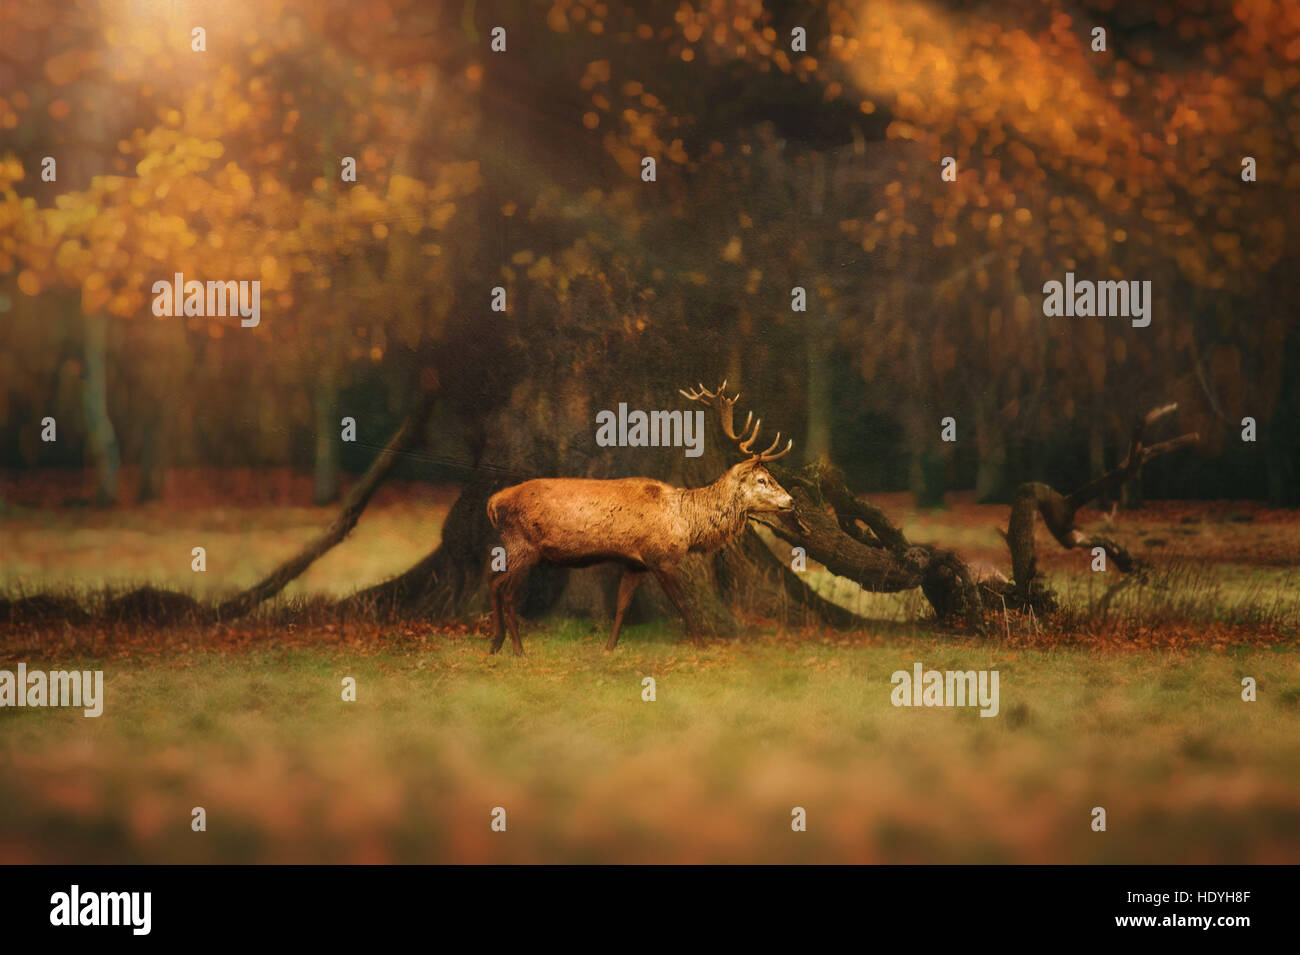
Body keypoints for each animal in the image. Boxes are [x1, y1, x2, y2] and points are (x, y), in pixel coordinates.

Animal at [485, 381, 796, 654]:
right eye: (762, 479)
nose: (791, 501)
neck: (686, 524)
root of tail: (493, 502)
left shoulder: (635, 562)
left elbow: (622, 606)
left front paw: (609, 648)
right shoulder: (661, 556)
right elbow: (683, 603)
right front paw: (702, 645)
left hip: (514, 548)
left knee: (494, 581)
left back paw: (495, 644)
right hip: (525, 546)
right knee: (508, 593)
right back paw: (518, 650)